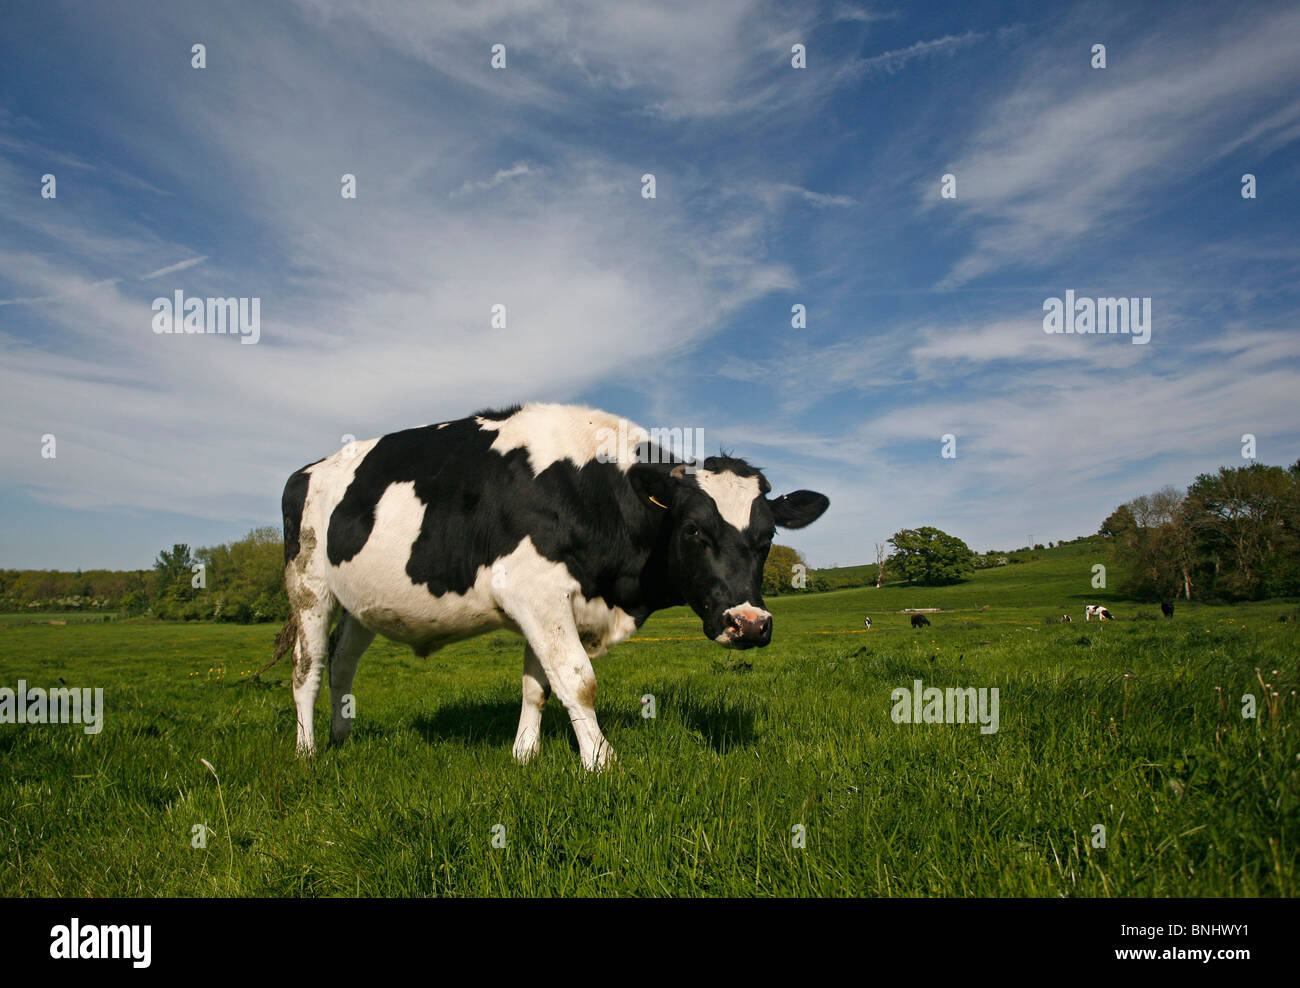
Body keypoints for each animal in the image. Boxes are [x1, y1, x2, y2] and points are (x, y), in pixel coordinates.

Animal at [276, 403, 829, 770]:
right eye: (693, 529)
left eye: (768, 536)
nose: (748, 624)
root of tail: (309, 469)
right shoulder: (534, 592)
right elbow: (578, 680)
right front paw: (601, 762)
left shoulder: (548, 605)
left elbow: (537, 685)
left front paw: (524, 755)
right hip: (309, 585)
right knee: (308, 667)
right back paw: (306, 751)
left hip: (360, 603)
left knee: (343, 663)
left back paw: (341, 736)